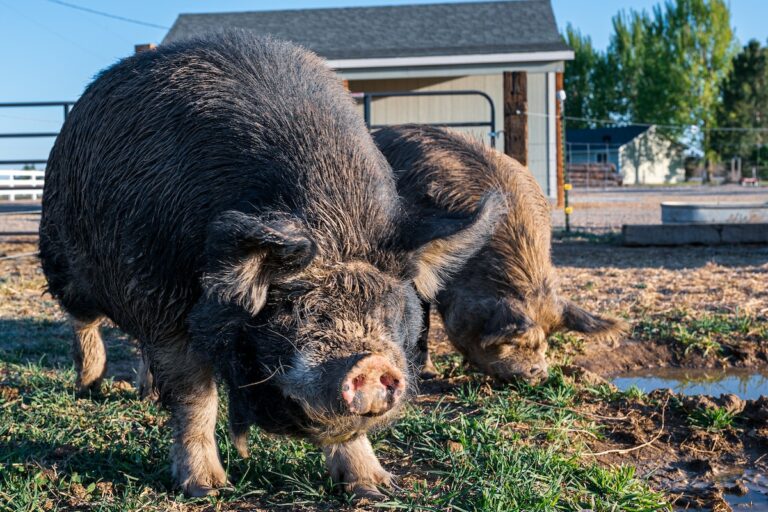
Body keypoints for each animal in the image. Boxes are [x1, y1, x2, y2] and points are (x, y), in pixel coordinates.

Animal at [38, 34, 502, 498]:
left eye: (388, 311)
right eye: (299, 309)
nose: (371, 365)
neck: (335, 225)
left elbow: (348, 432)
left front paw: (376, 488)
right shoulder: (163, 303)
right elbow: (195, 398)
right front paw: (207, 488)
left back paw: (145, 394)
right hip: (62, 257)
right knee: (82, 319)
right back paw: (89, 386)